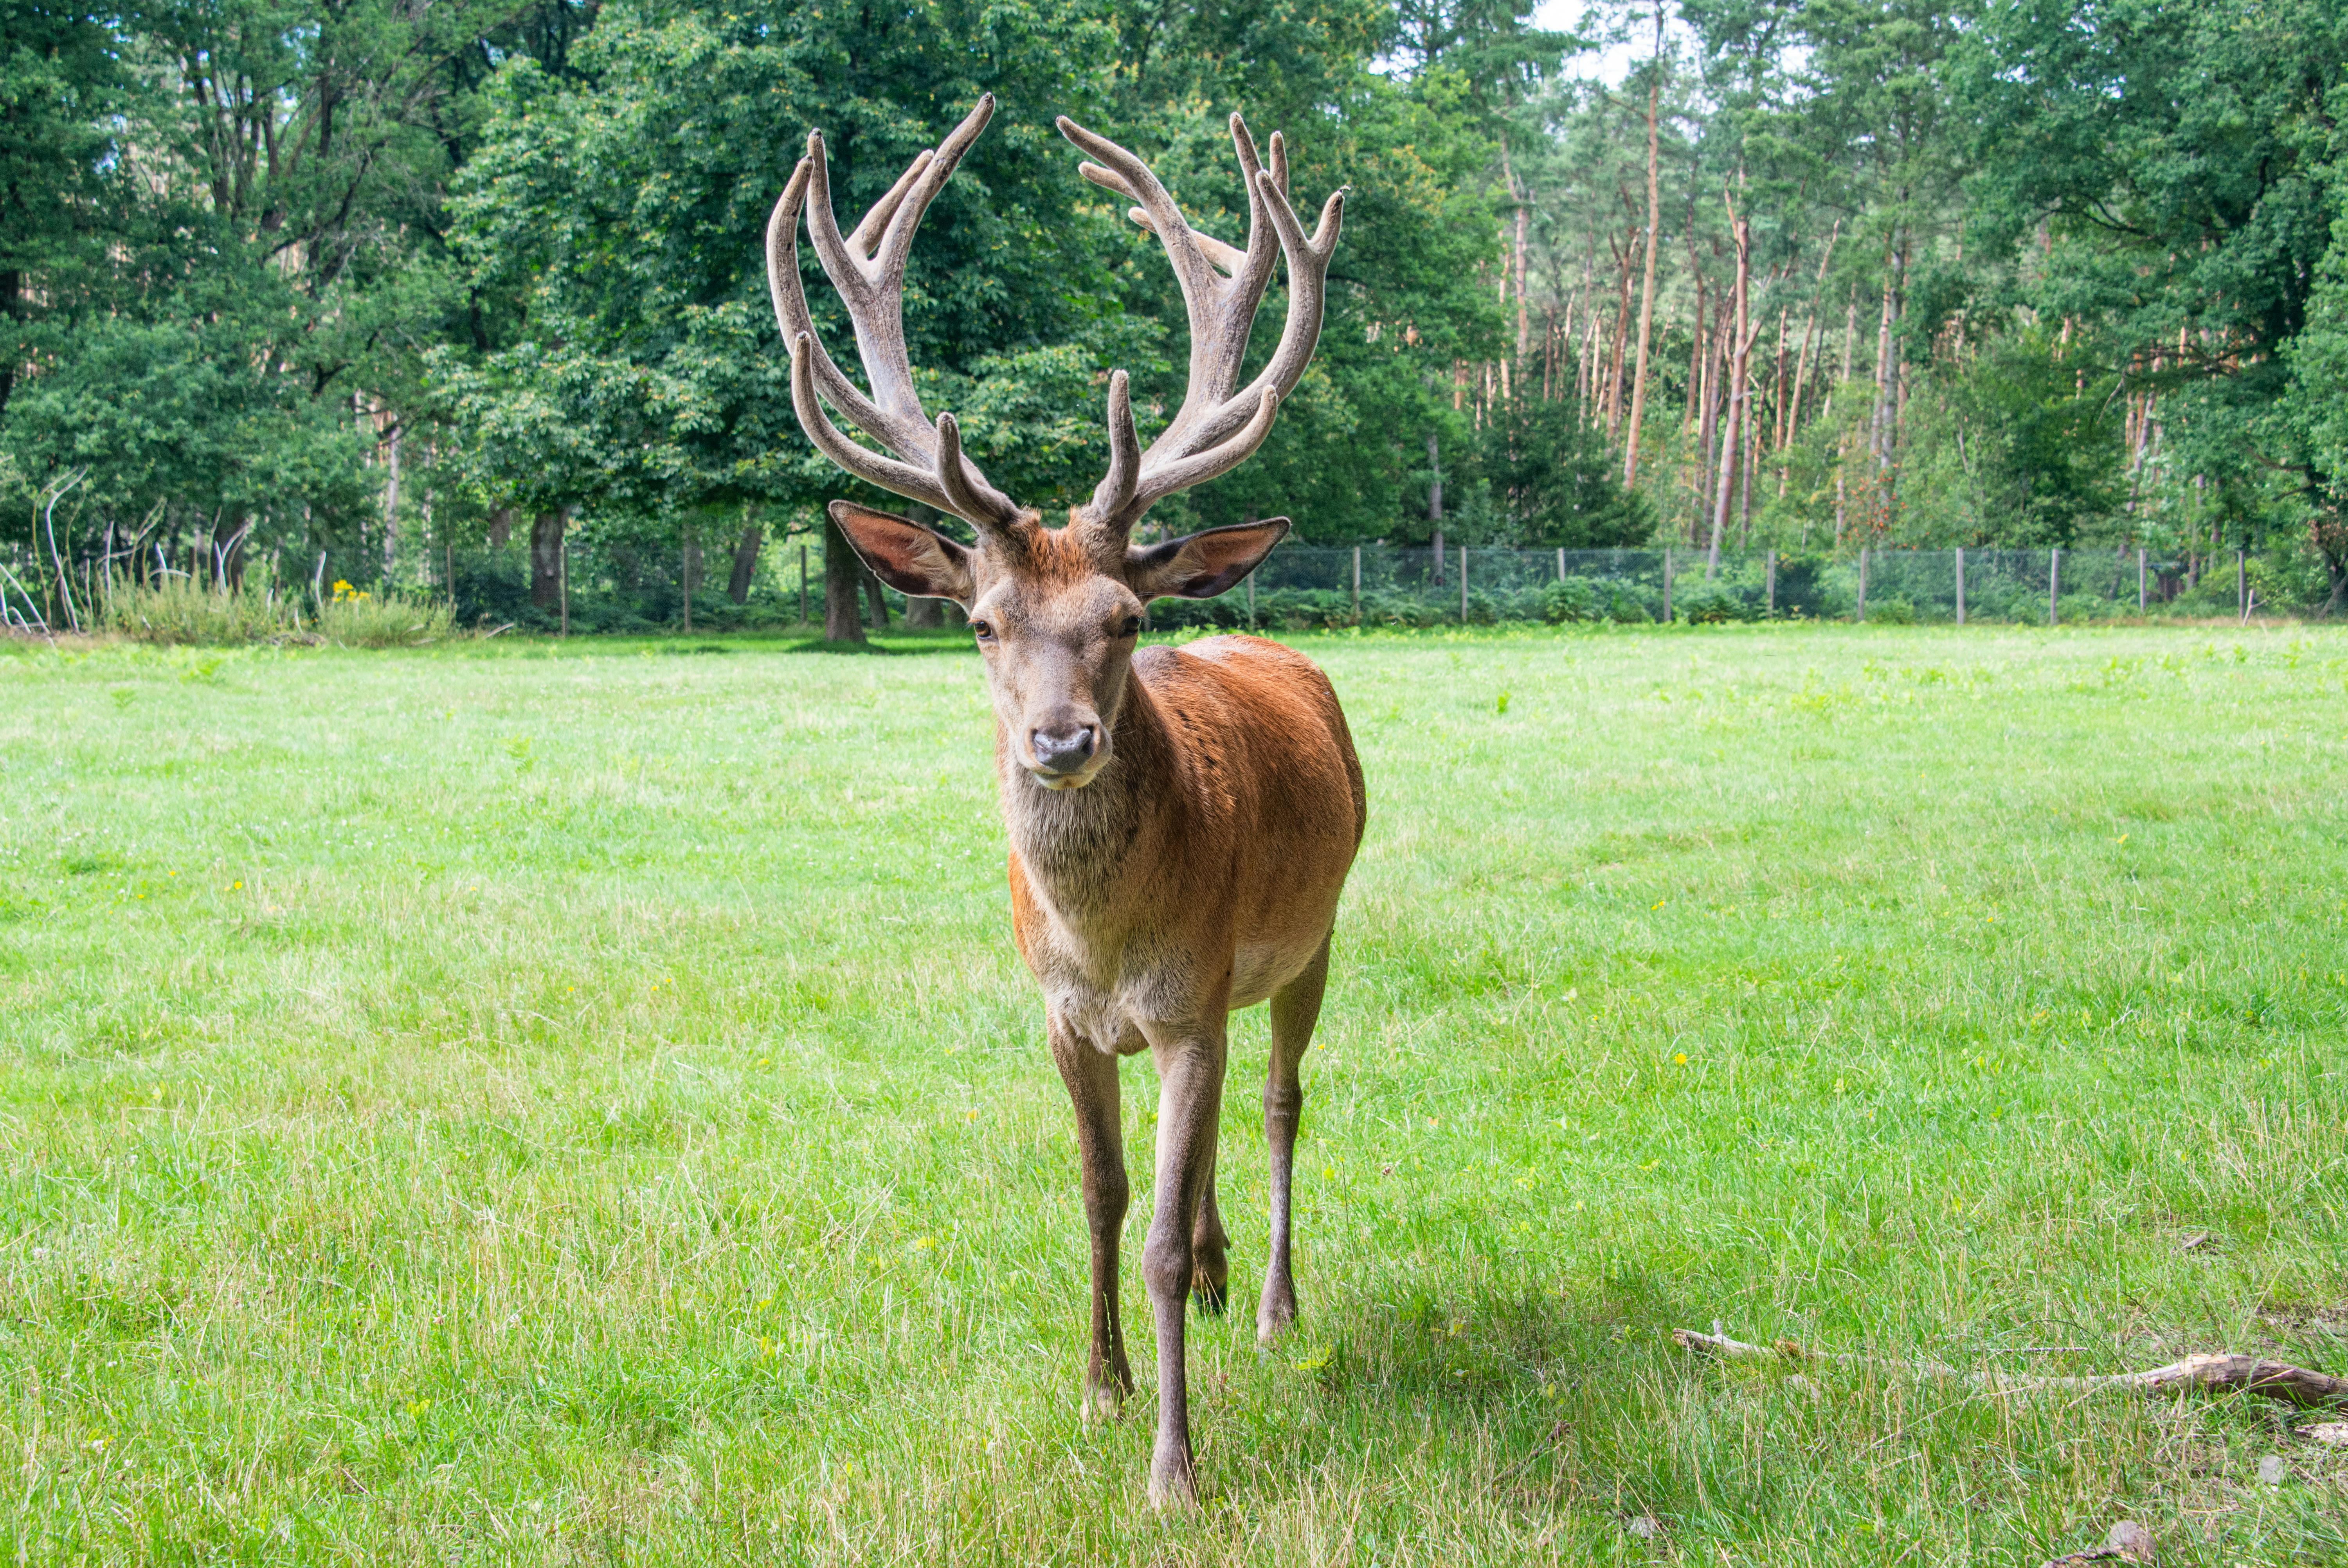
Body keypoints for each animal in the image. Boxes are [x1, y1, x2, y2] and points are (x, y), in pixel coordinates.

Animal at [765, 94, 1361, 1508]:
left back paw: (1270, 1301)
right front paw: (1102, 1386)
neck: (1107, 940)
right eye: (983, 620)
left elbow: (1156, 1230)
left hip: (1313, 938)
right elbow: (1104, 1197)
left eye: (1127, 618)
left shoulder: (1190, 1000)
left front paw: (1175, 1466)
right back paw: (1222, 1279)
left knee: (1280, 1103)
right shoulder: (1063, 1014)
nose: (1060, 738)